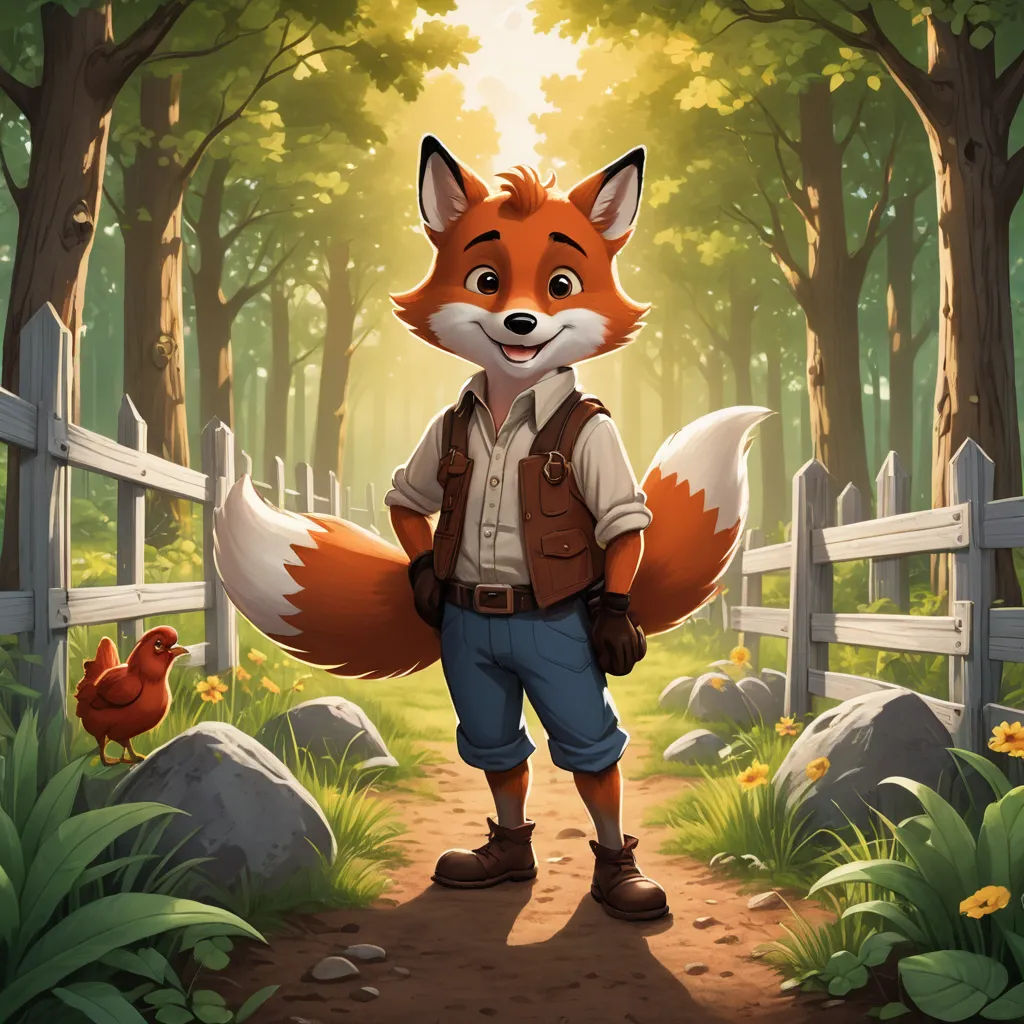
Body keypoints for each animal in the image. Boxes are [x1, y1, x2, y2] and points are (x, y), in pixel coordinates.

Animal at [213, 135, 769, 922]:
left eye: (562, 284)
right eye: (485, 280)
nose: (521, 325)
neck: (510, 397)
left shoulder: (599, 452)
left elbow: (622, 525)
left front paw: (616, 626)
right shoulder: (436, 454)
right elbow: (410, 500)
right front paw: (425, 582)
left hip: (563, 673)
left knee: (590, 754)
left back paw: (621, 877)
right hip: (476, 669)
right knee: (499, 748)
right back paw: (503, 858)